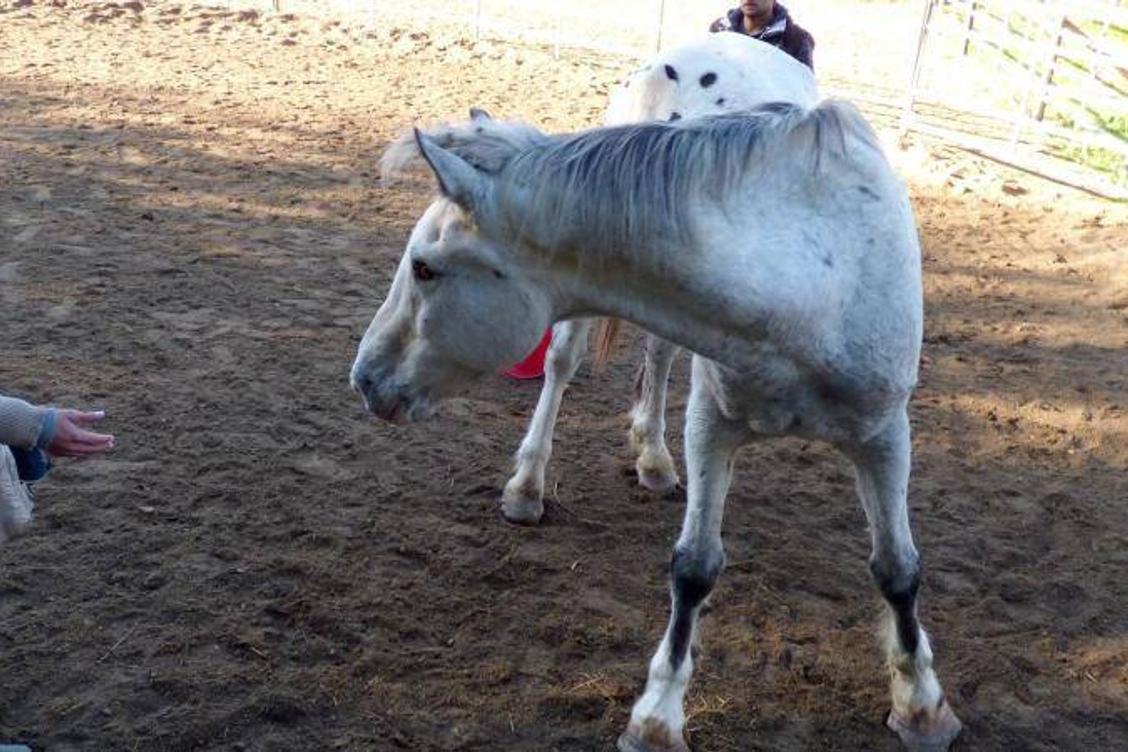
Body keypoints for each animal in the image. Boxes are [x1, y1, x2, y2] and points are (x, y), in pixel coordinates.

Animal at [351, 99, 961, 752]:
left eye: (423, 268)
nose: (364, 378)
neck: (816, 284)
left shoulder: (884, 436)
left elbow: (898, 570)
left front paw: (922, 705)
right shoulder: (711, 428)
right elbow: (694, 568)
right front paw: (657, 717)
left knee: (660, 357)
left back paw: (649, 460)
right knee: (563, 366)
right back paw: (532, 486)